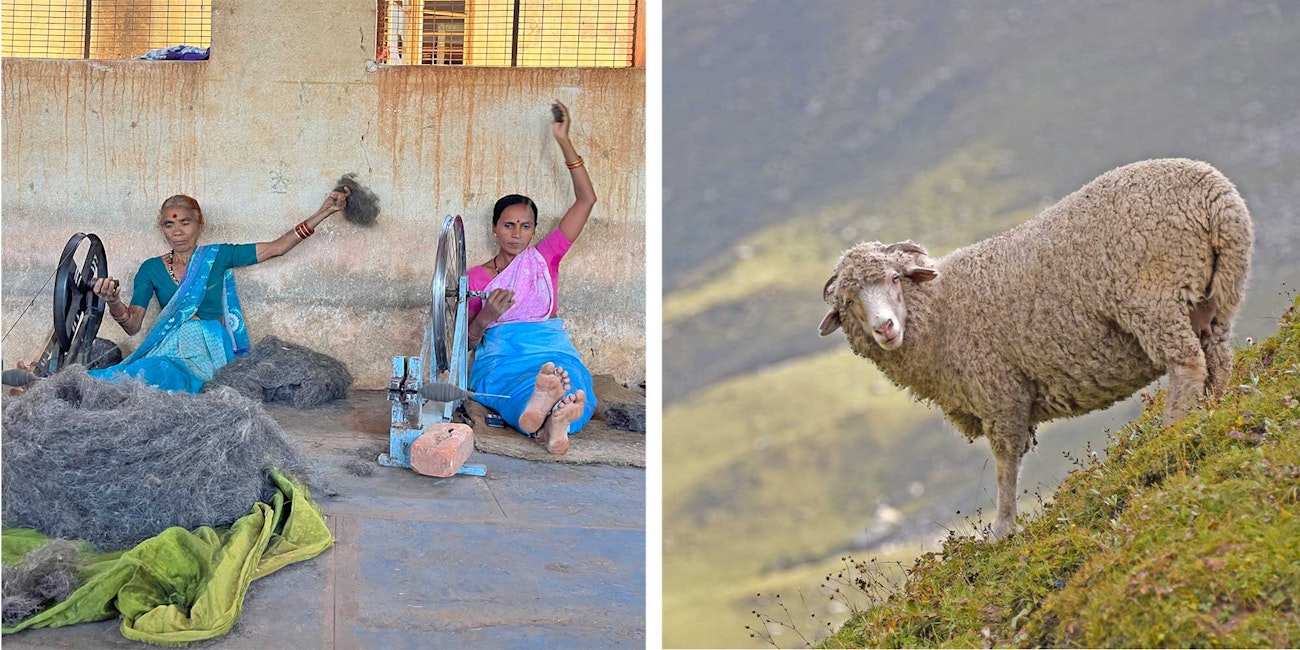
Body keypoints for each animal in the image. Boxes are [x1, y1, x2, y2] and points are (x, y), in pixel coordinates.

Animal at [818, 158, 1253, 539]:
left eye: (894, 278)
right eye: (849, 302)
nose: (885, 328)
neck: (940, 306)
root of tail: (1214, 195)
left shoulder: (999, 393)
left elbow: (1005, 461)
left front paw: (1002, 529)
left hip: (1154, 297)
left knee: (1187, 364)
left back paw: (1170, 429)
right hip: (1214, 297)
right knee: (1217, 359)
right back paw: (1212, 409)